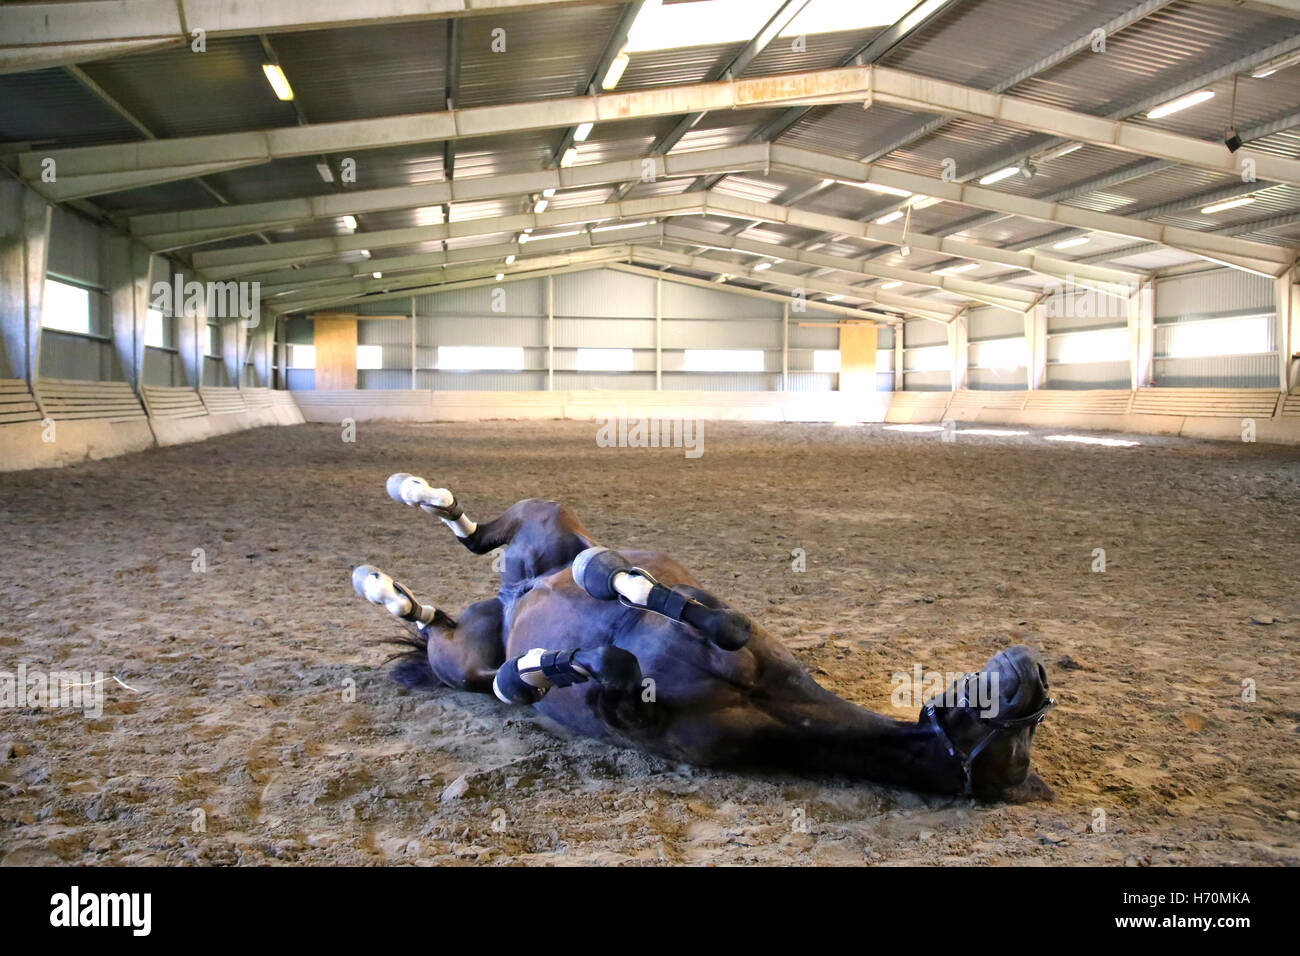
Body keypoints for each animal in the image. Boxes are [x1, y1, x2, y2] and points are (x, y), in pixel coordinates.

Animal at [350, 473, 1055, 799]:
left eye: (1021, 746)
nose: (1034, 668)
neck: (772, 709)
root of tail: (507, 599)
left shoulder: (631, 712)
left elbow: (609, 663)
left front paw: (529, 673)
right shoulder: (713, 619)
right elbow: (714, 622)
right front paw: (612, 585)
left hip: (458, 654)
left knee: (434, 619)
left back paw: (391, 590)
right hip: (544, 522)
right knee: (471, 533)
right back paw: (406, 513)